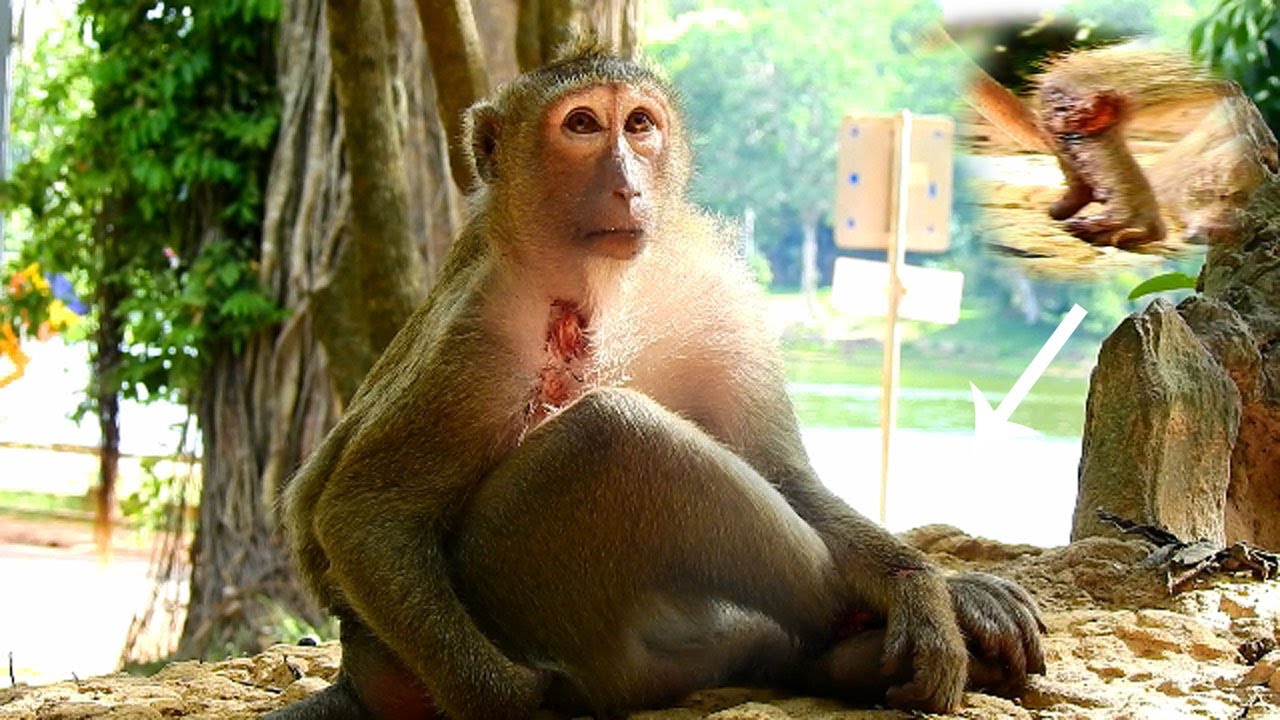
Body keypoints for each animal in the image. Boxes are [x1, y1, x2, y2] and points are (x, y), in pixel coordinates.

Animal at [265, 43, 1045, 720]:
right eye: (581, 125)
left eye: (638, 125)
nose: (627, 182)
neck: (601, 283)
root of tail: (363, 674)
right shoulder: (481, 324)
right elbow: (364, 516)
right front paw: (501, 699)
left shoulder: (716, 299)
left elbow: (783, 475)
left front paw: (921, 588)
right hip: (534, 599)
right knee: (614, 433)